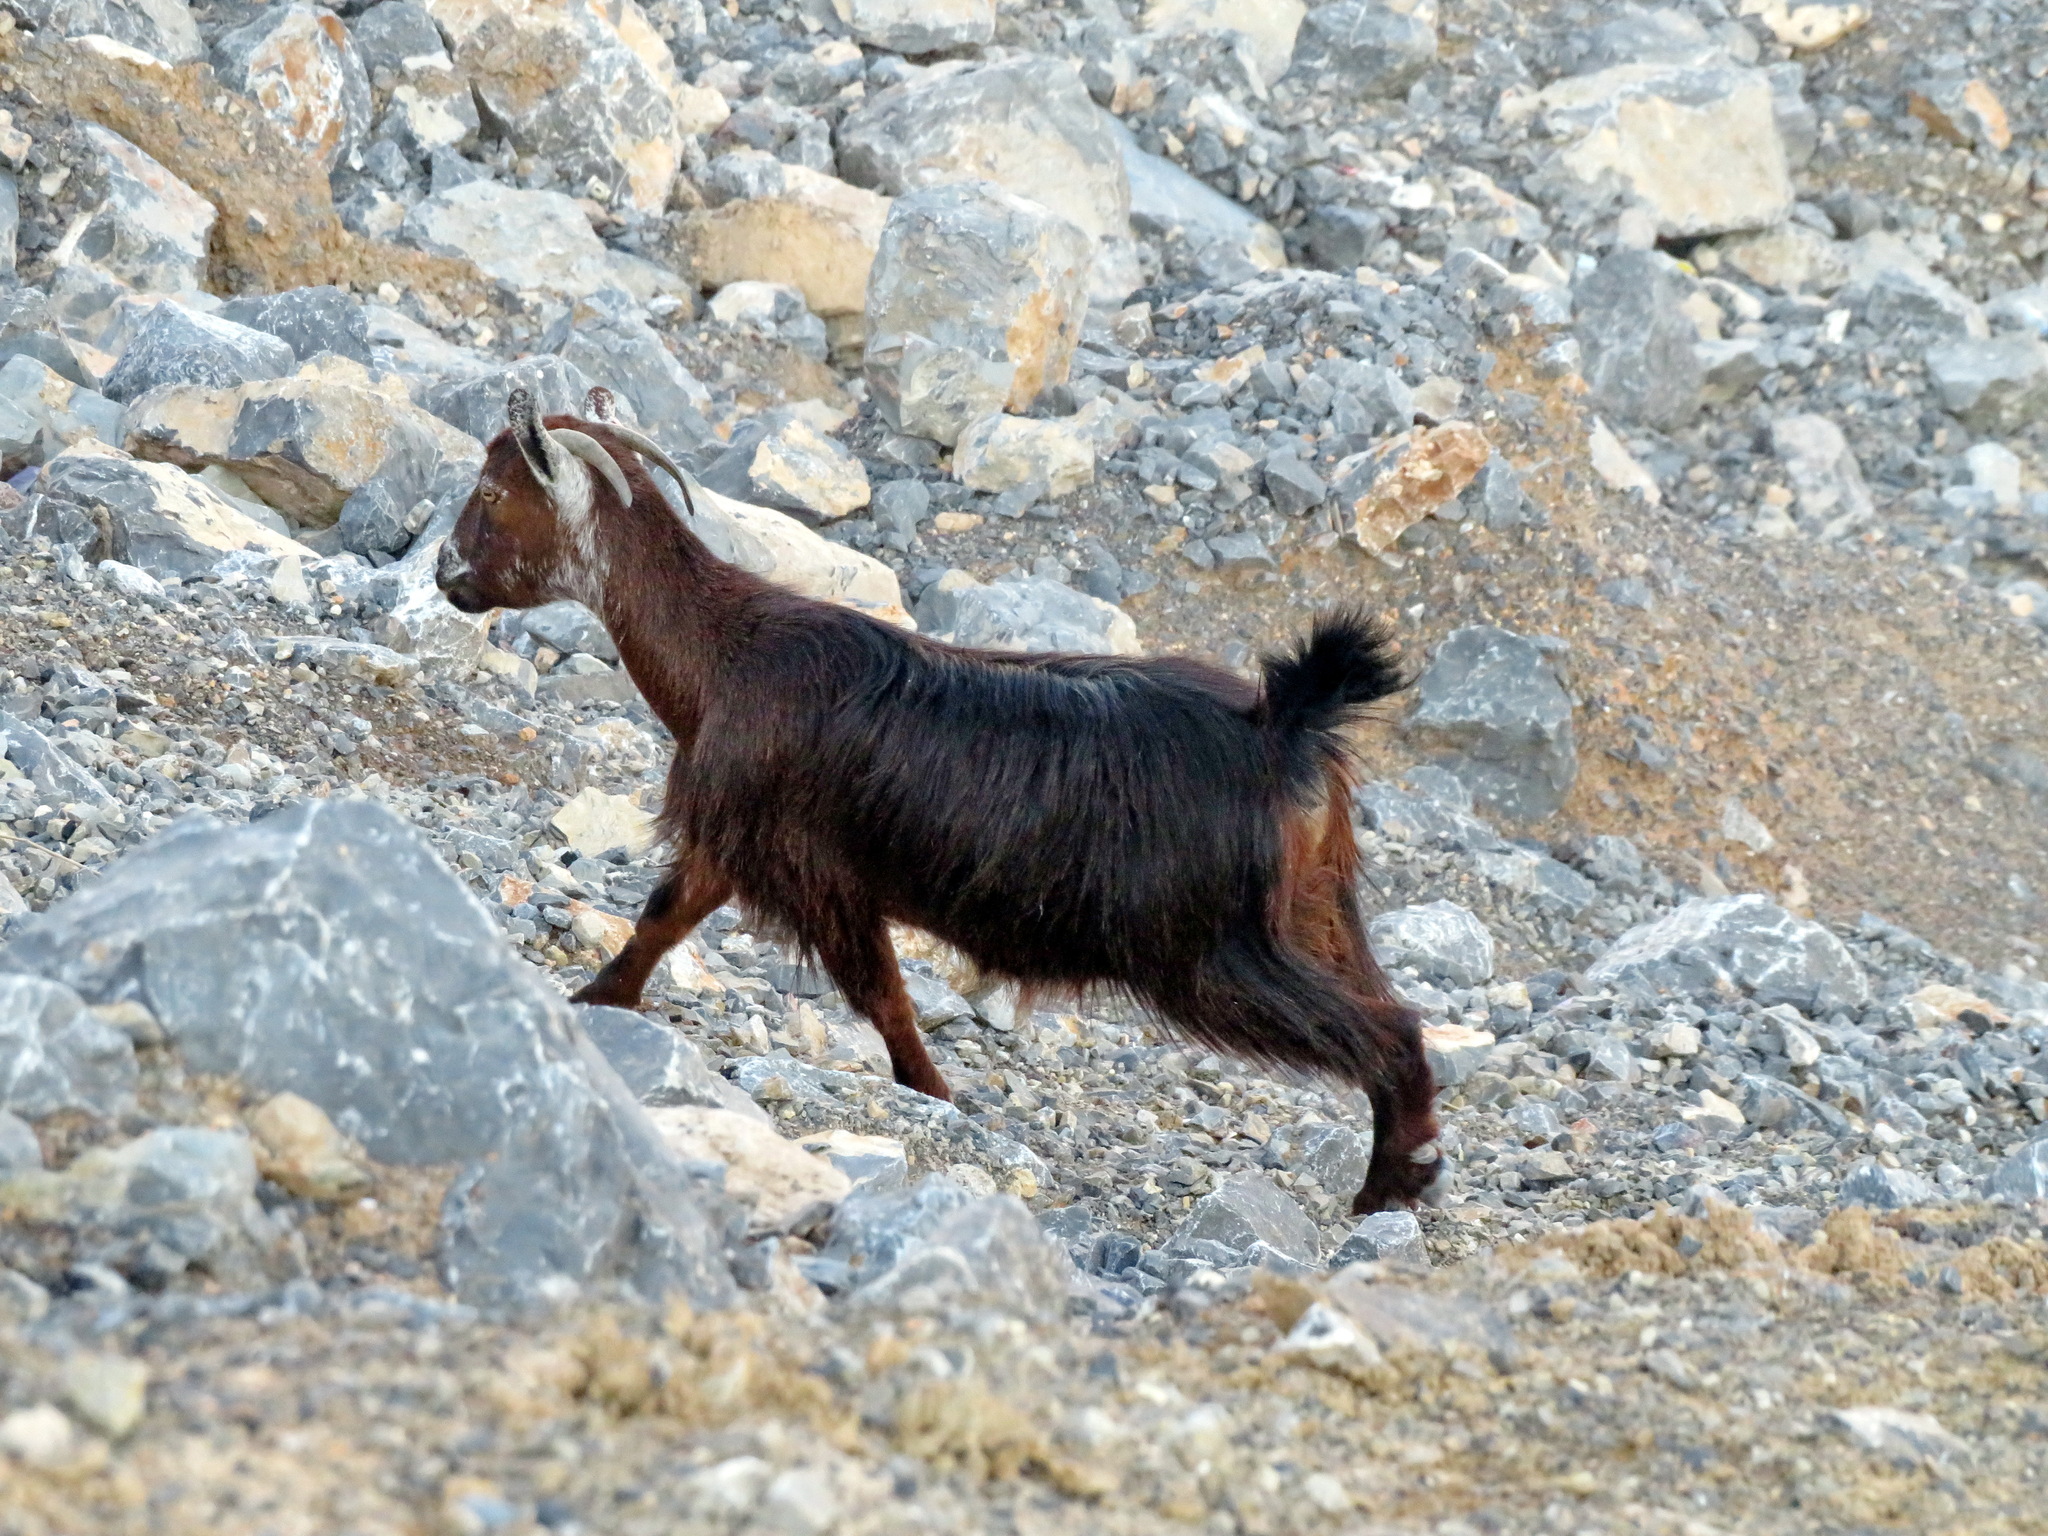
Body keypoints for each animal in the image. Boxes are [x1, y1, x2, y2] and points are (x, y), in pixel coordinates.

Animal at [437, 387, 1443, 1213]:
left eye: (490, 494)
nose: (446, 575)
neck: (727, 657)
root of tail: (1284, 723)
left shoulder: (812, 865)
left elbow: (882, 996)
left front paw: (933, 1096)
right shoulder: (737, 841)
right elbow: (663, 917)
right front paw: (594, 1000)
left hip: (1209, 949)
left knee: (1386, 1029)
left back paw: (1388, 1187)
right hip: (1314, 910)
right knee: (1385, 1005)